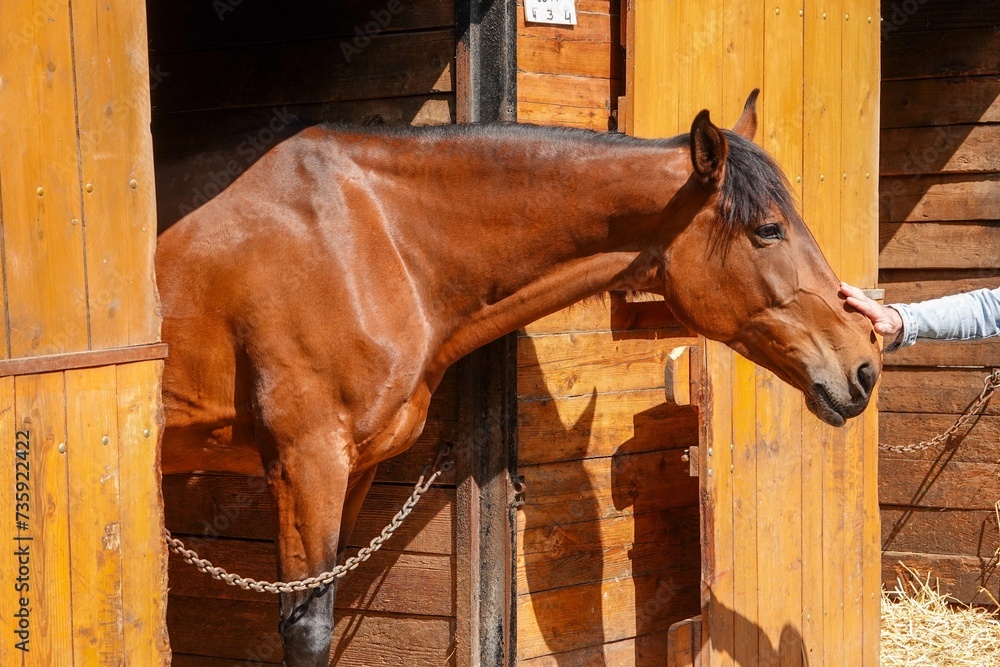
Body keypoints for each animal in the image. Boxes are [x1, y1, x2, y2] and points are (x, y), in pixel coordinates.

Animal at [155, 90, 881, 665]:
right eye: (768, 229)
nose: (864, 365)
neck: (368, 239)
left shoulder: (352, 470)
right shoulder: (306, 463)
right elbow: (305, 629)